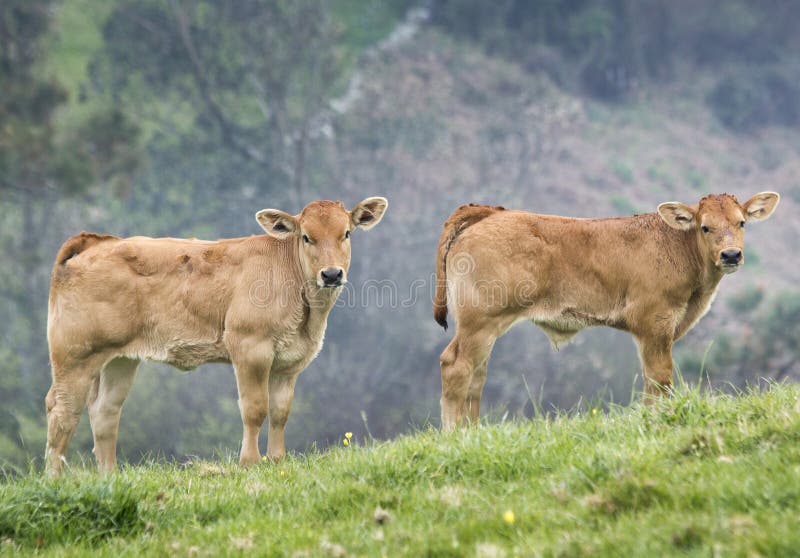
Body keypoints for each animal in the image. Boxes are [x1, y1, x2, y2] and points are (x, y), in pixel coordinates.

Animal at [45, 197, 388, 475]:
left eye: (346, 233)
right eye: (306, 237)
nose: (331, 274)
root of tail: (98, 242)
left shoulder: (289, 362)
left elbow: (280, 412)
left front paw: (278, 461)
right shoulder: (250, 347)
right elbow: (254, 409)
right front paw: (249, 463)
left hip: (120, 358)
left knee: (104, 411)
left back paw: (109, 477)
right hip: (75, 355)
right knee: (62, 410)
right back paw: (55, 480)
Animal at [433, 192, 780, 430]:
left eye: (741, 222)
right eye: (705, 227)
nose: (731, 254)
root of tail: (490, 213)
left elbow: (652, 379)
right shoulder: (654, 322)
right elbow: (659, 377)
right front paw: (656, 421)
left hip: (485, 328)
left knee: (477, 375)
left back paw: (473, 432)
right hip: (480, 321)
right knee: (456, 365)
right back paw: (455, 435)